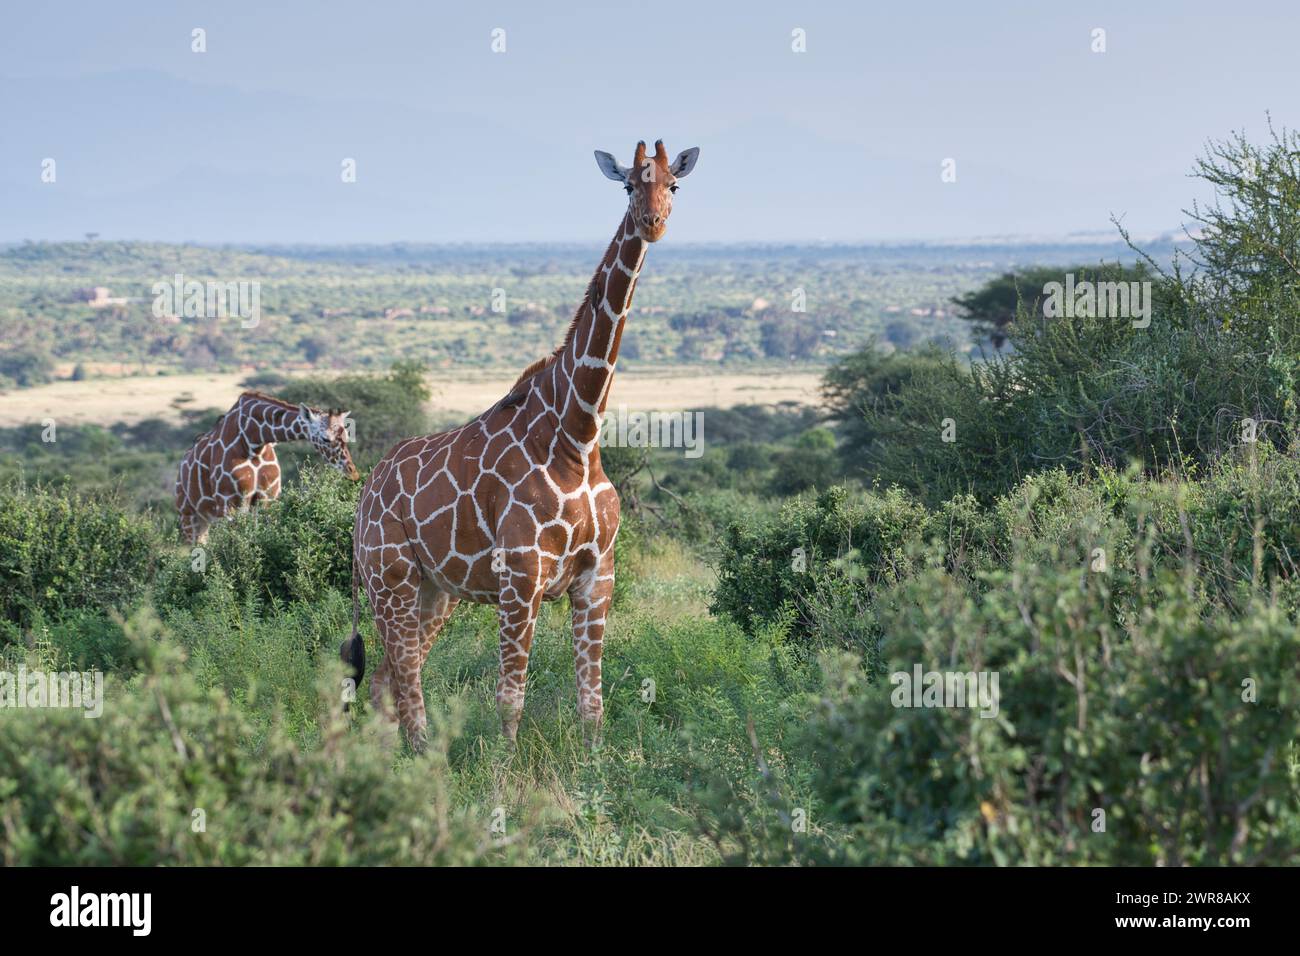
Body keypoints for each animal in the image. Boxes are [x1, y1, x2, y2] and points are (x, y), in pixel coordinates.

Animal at [175, 391, 360, 544]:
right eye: (325, 439)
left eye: (346, 435)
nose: (352, 472)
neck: (253, 441)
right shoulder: (230, 502)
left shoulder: (267, 498)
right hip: (188, 515)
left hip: (205, 519)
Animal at [344, 139, 700, 748]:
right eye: (629, 184)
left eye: (673, 184)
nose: (653, 223)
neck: (577, 437)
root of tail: (364, 495)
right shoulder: (520, 576)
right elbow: (510, 698)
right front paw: (502, 770)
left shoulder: (598, 577)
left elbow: (592, 703)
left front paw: (595, 768)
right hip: (390, 577)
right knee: (406, 678)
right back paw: (420, 756)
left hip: (434, 591)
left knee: (388, 680)